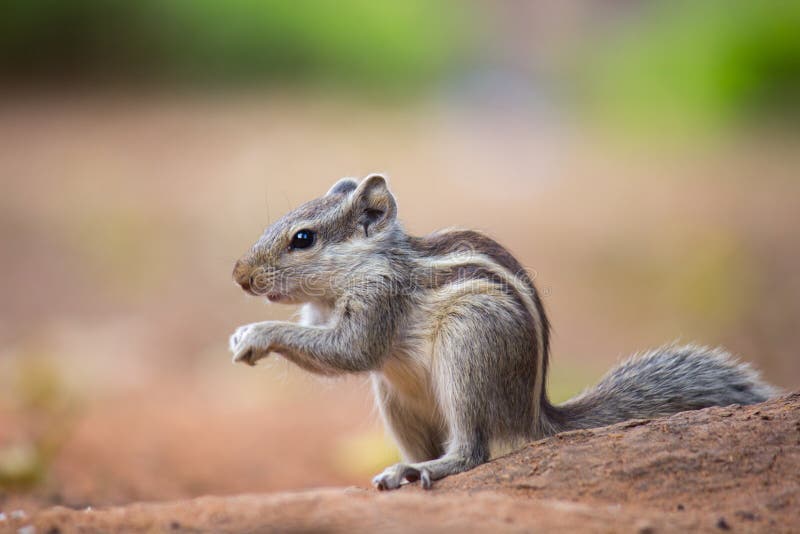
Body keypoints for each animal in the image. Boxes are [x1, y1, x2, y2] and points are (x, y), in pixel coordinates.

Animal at [229, 174, 778, 490]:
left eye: (303, 239)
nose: (240, 275)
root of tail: (533, 418)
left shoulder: (380, 298)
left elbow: (351, 352)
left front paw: (254, 333)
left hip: (468, 349)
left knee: (473, 453)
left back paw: (422, 471)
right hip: (396, 398)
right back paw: (398, 472)